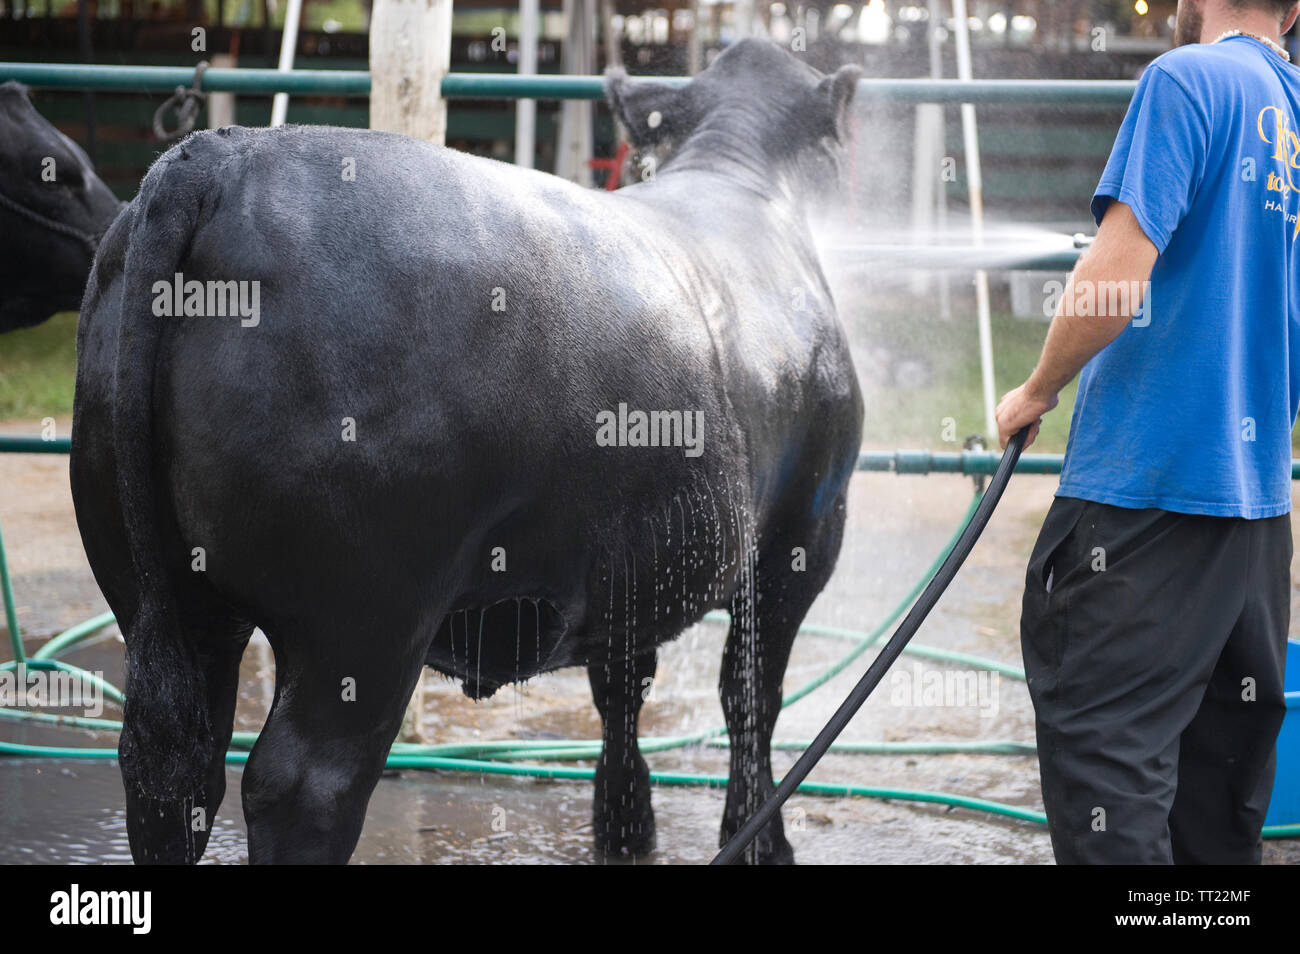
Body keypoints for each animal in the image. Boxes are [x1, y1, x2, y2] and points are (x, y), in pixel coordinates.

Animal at [70, 37, 864, 865]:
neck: (735, 177)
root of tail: (216, 157)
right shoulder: (807, 529)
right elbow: (751, 694)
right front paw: (759, 838)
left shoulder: (624, 558)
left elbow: (622, 687)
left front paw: (625, 829)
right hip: (364, 619)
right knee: (304, 784)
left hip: (156, 590)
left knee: (170, 773)